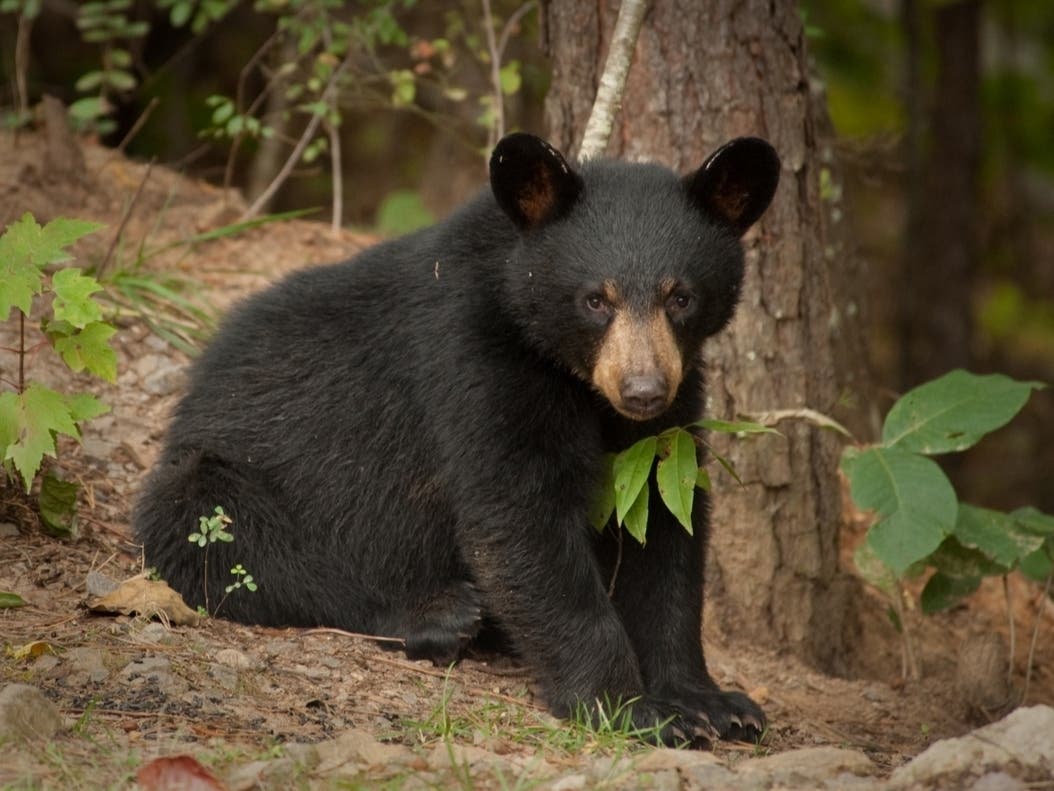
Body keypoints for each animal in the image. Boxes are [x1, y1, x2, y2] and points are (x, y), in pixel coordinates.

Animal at [133, 132, 780, 747]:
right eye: (596, 299)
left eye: (681, 297)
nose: (643, 390)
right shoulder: (475, 362)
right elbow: (518, 521)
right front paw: (631, 709)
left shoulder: (668, 416)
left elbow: (665, 525)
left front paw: (710, 703)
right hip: (218, 473)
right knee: (220, 536)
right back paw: (438, 613)